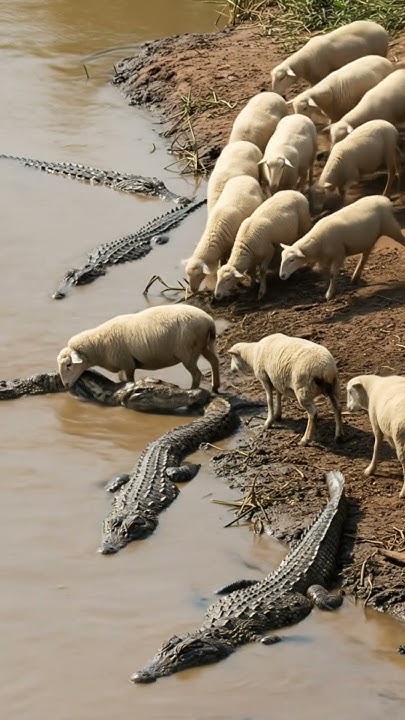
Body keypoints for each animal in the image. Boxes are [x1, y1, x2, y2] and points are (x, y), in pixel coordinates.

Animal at [57, 304, 220, 393]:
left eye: (69, 365)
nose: (65, 385)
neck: (99, 346)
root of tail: (209, 321)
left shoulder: (128, 364)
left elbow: (130, 380)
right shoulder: (122, 365)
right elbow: (121, 379)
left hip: (188, 352)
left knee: (197, 374)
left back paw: (193, 391)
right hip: (203, 345)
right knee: (215, 361)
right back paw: (215, 386)